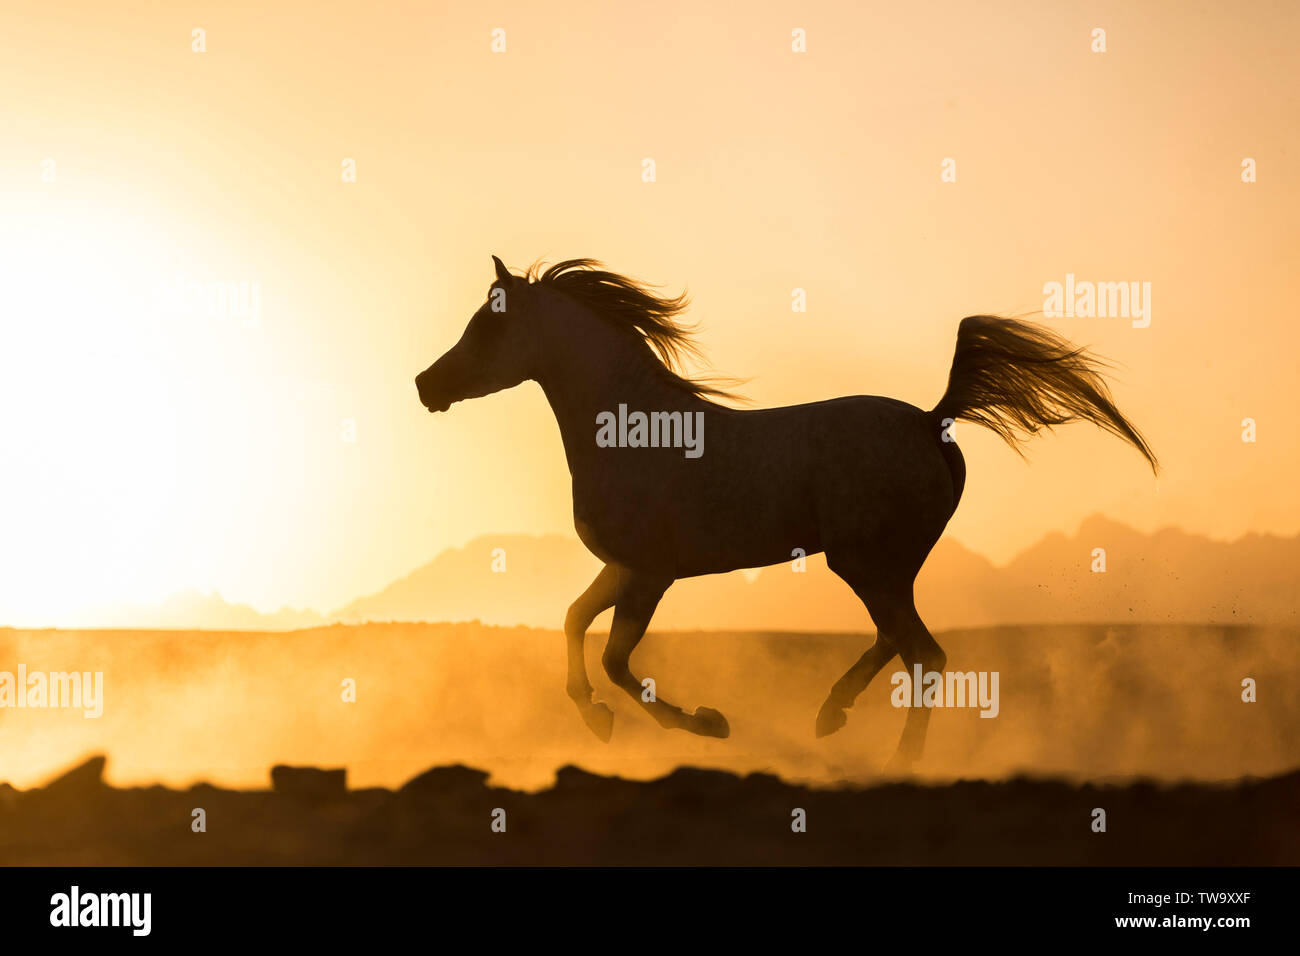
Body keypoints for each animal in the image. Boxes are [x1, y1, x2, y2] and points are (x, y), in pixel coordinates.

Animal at [415, 256, 1157, 768]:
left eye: (488, 324)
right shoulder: (622, 568)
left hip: (864, 564)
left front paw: (707, 722)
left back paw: (899, 759)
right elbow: (573, 623)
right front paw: (596, 719)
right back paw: (832, 713)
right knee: (896, 639)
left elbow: (618, 659)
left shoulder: (651, 574)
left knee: (924, 652)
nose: (426, 385)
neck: (635, 432)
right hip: (882, 565)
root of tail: (932, 418)